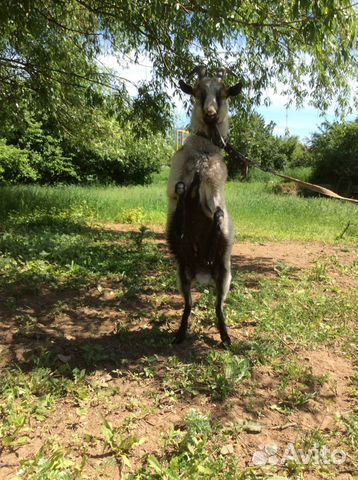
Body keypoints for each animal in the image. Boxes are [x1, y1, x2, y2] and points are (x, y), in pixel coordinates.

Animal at [166, 66, 242, 344]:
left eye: (223, 94)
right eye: (198, 93)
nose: (210, 113)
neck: (202, 156)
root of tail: (201, 275)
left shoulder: (216, 192)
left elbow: (219, 214)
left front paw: (209, 249)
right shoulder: (175, 183)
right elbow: (179, 193)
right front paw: (179, 228)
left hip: (225, 274)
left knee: (218, 306)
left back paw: (225, 337)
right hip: (181, 274)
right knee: (188, 304)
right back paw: (180, 334)